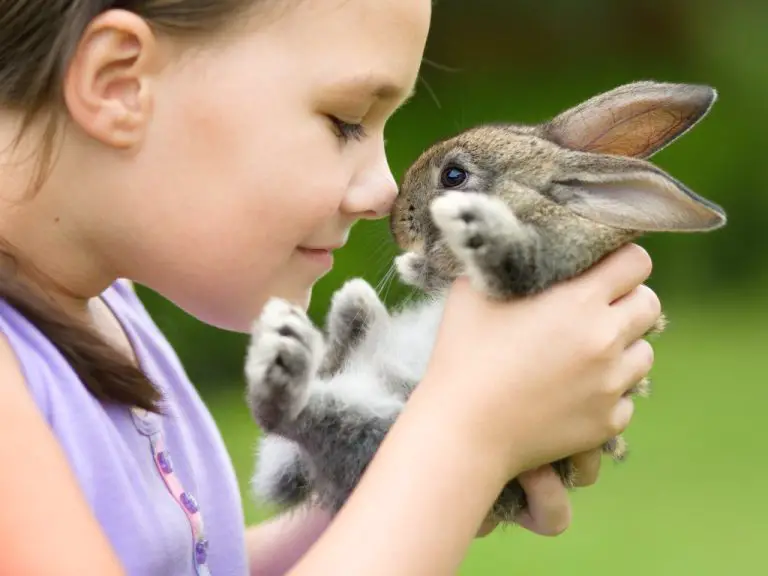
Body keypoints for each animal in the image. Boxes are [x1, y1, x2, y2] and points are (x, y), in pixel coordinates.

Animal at [244, 80, 727, 525]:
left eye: (454, 176)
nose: (397, 221)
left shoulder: (540, 264)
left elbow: (509, 259)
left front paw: (469, 228)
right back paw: (342, 314)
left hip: (383, 431)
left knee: (288, 413)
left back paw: (295, 351)